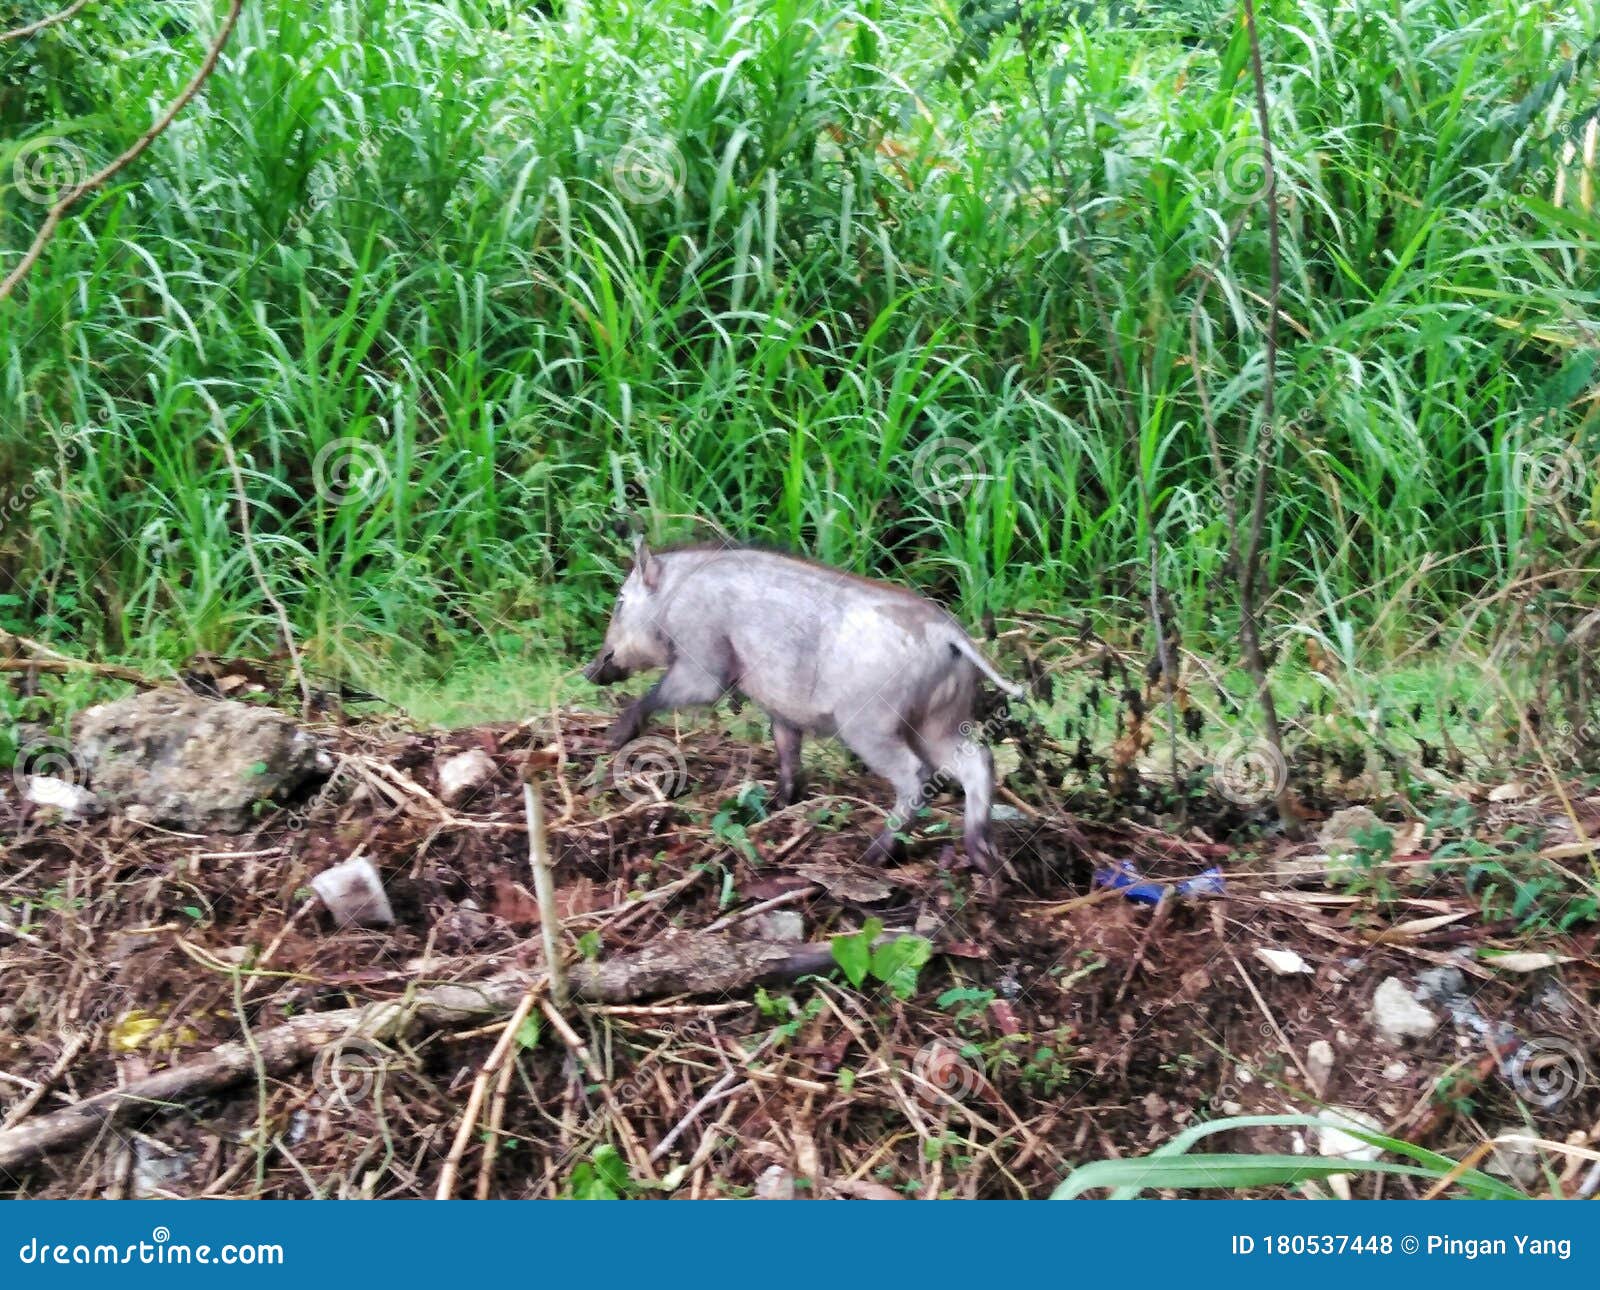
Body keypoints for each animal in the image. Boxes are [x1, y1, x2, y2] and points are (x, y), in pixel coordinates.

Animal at [584, 541, 1025, 882]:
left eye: (620, 602)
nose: (590, 671)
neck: (673, 597)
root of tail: (949, 634)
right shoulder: (781, 709)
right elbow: (786, 750)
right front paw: (779, 804)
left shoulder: (703, 664)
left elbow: (659, 694)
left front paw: (614, 738)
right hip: (939, 722)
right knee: (978, 763)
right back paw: (985, 860)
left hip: (872, 728)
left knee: (918, 776)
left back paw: (873, 856)